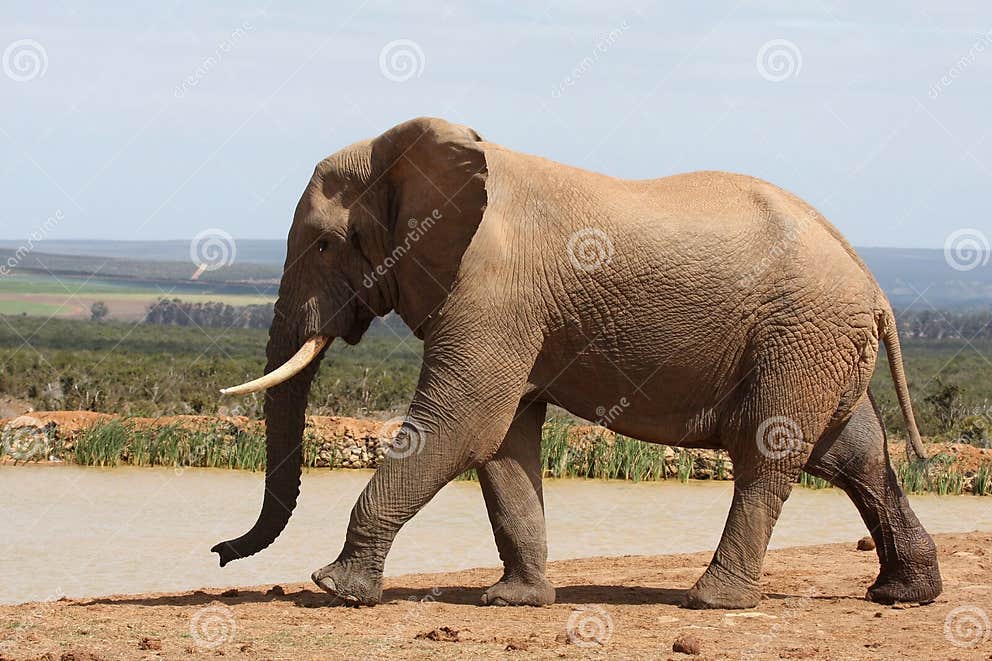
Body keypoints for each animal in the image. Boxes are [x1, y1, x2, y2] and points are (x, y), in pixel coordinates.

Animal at [212, 116, 942, 610]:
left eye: (326, 243)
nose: (218, 554)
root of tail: (873, 283)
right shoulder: (511, 307)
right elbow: (503, 439)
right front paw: (516, 600)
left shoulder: (495, 289)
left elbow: (461, 424)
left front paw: (335, 588)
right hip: (821, 341)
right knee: (855, 454)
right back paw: (904, 592)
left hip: (800, 336)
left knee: (770, 452)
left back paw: (711, 599)